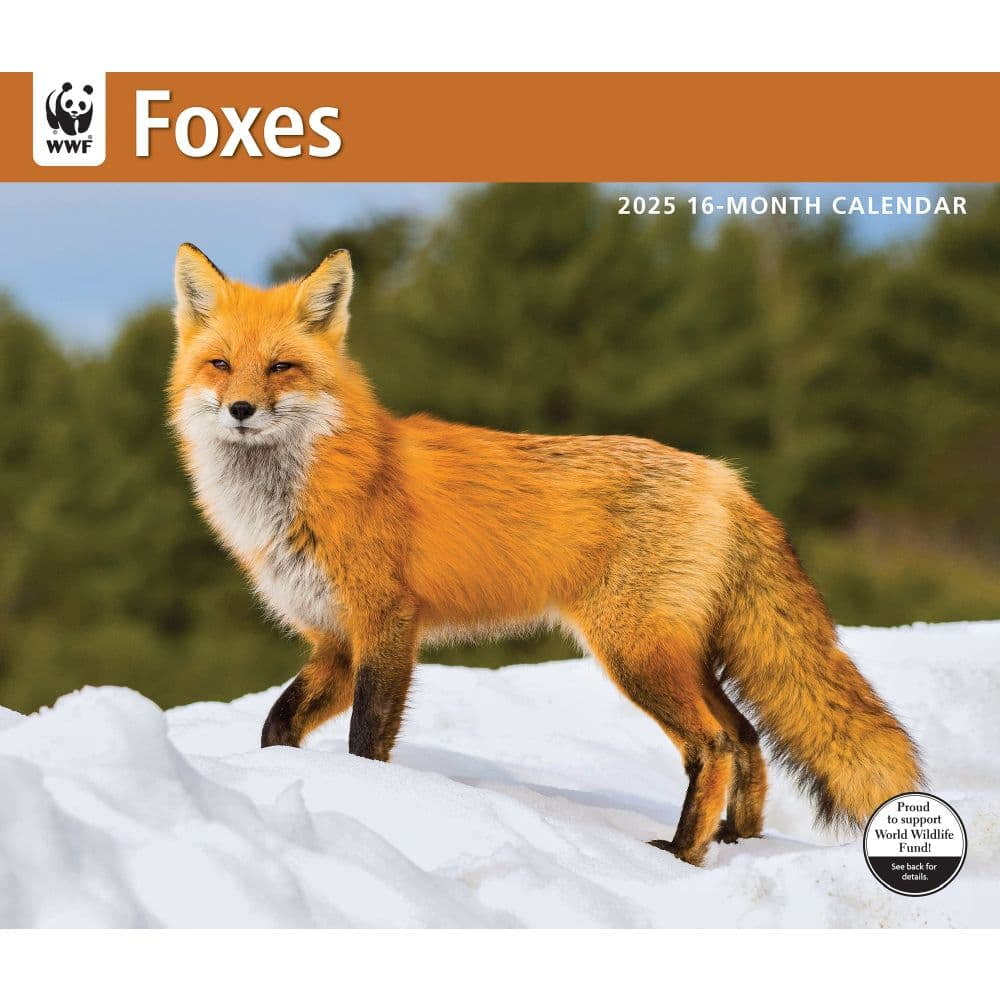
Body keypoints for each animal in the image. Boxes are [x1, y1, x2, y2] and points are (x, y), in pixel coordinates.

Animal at [168, 242, 923, 866]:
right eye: (221, 364)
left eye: (282, 367)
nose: (240, 409)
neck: (297, 493)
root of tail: (726, 477)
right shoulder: (334, 638)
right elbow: (277, 723)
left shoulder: (386, 623)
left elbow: (368, 736)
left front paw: (376, 799)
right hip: (681, 655)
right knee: (744, 738)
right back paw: (737, 841)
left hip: (634, 654)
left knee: (712, 746)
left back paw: (683, 854)